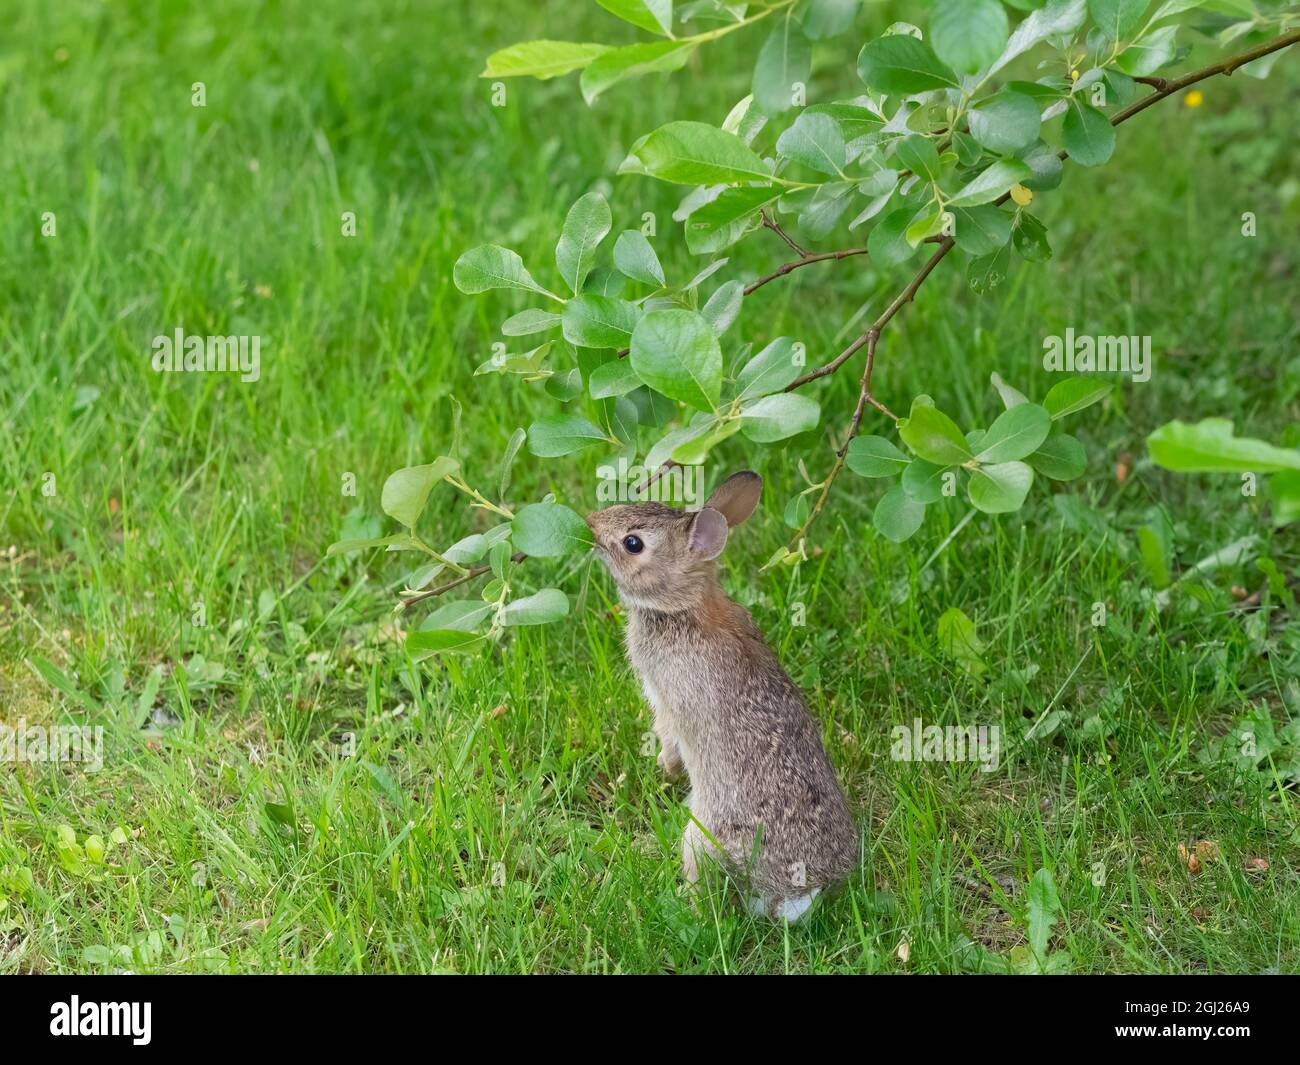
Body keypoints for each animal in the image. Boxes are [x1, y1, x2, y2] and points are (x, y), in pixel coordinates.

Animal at [586, 471, 858, 921]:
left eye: (633, 543)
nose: (590, 523)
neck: (682, 610)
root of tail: (801, 890)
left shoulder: (669, 701)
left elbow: (669, 734)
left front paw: (667, 768)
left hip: (703, 835)